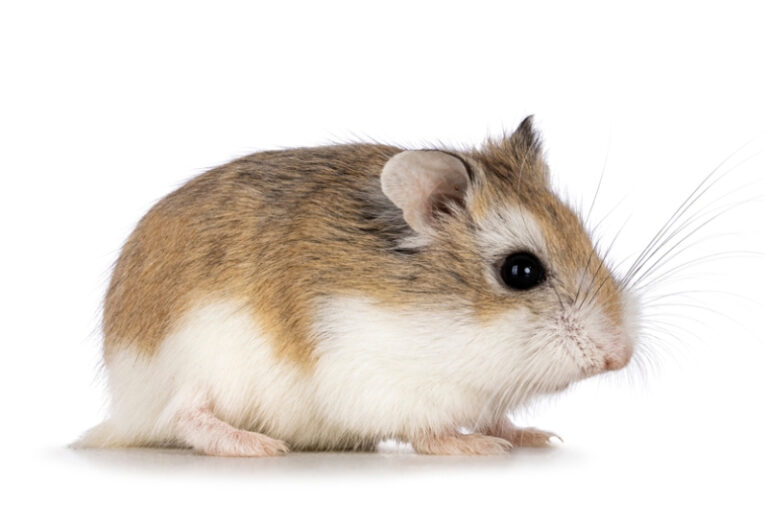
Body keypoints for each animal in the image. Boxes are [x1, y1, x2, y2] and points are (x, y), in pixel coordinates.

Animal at [78, 117, 635, 456]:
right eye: (521, 271)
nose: (620, 357)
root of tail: (125, 404)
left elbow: (497, 417)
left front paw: (535, 437)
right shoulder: (379, 378)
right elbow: (428, 430)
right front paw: (476, 447)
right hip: (204, 361)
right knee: (183, 415)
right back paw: (258, 445)